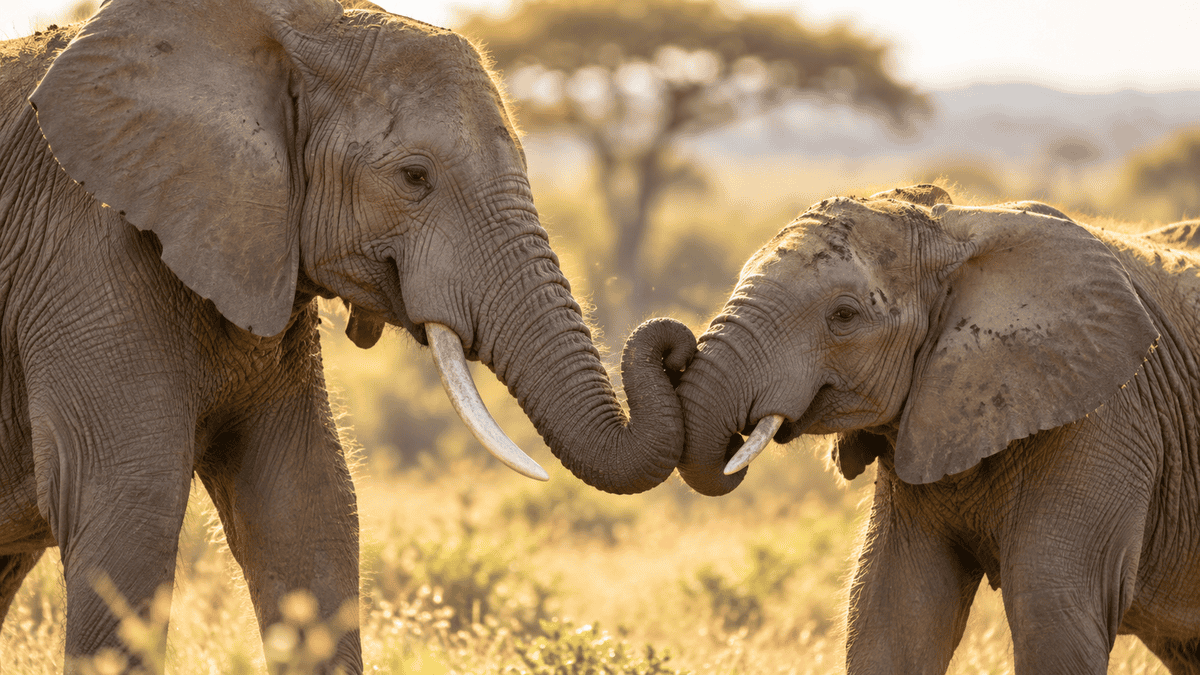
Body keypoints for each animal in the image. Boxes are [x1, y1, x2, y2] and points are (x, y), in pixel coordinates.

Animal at [0, 0, 695, 671]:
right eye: (414, 176)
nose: (675, 344)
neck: (287, 28)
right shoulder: (86, 258)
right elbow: (128, 505)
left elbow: (307, 502)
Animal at [671, 183, 1200, 673]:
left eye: (843, 315)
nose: (671, 344)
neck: (954, 231)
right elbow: (892, 609)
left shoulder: (1103, 418)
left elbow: (1052, 612)